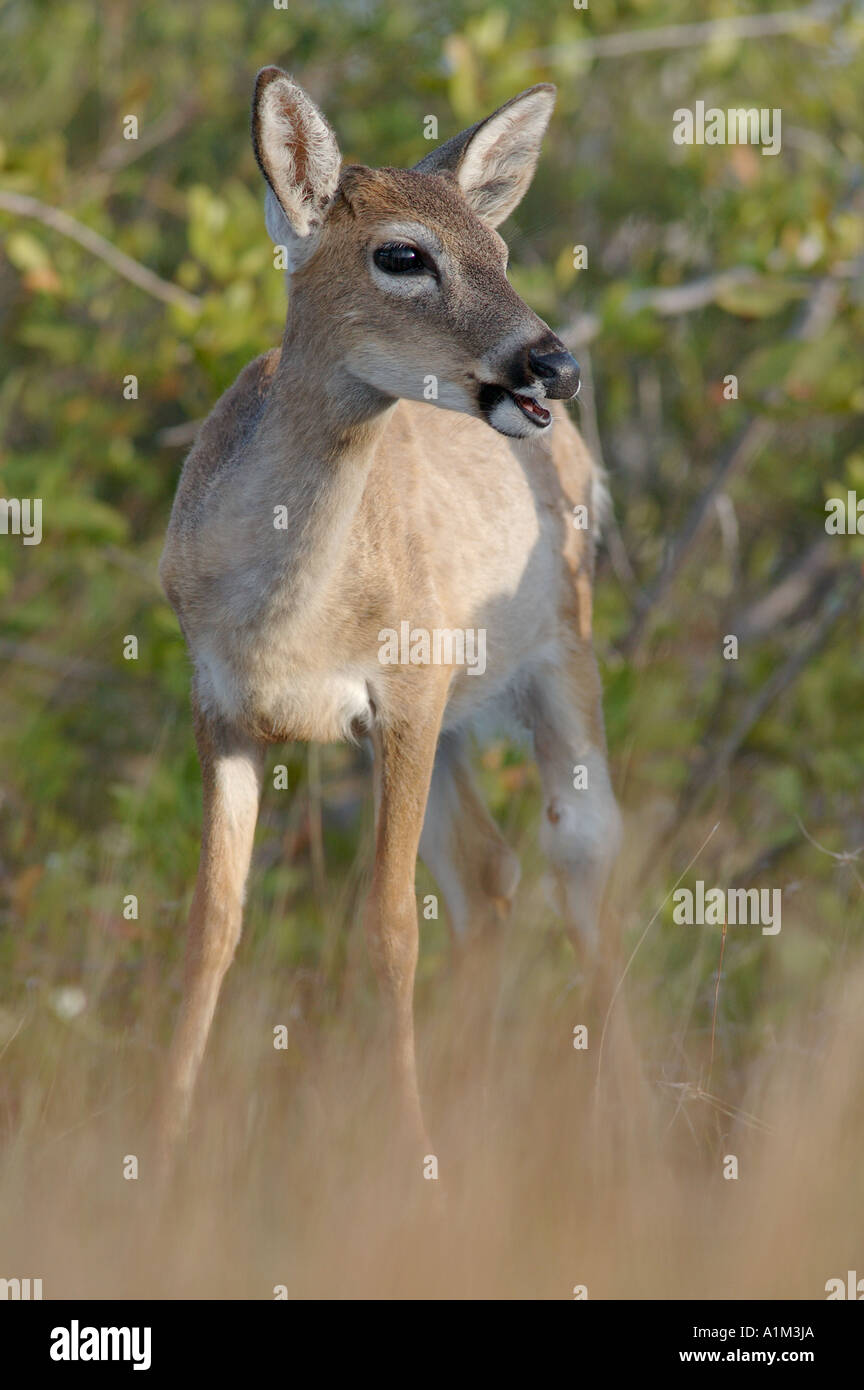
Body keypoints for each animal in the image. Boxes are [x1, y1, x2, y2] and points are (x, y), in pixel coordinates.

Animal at [156, 66, 621, 1170]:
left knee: (584, 855)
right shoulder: (220, 706)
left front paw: (415, 1168)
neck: (283, 621)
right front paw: (159, 1147)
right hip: (451, 718)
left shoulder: (405, 688)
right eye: (403, 254)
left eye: (499, 249)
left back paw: (622, 1142)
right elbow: (213, 926)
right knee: (488, 875)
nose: (554, 365)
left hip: (561, 652)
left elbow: (389, 929)